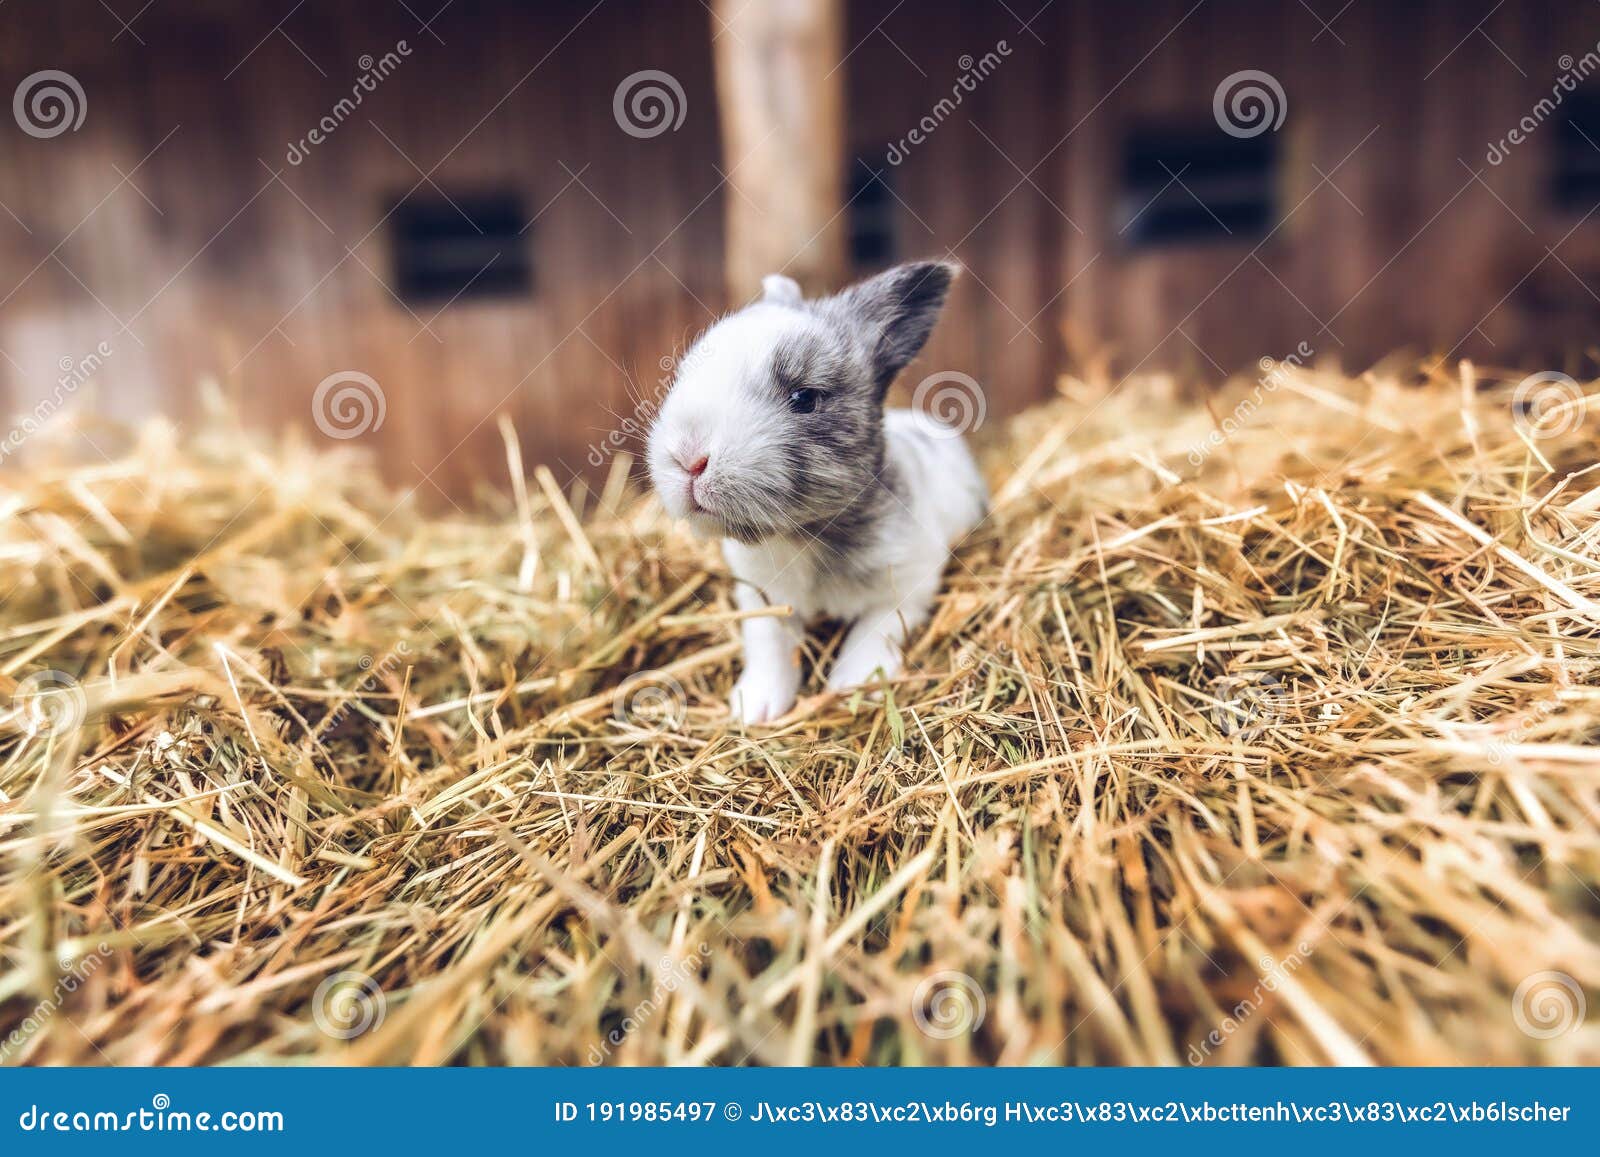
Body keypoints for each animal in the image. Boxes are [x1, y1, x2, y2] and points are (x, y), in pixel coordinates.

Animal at [647, 260, 987, 724]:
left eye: (804, 398)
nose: (687, 457)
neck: (805, 536)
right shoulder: (762, 596)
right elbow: (770, 644)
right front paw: (755, 708)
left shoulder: (911, 579)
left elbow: (875, 626)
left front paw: (853, 683)